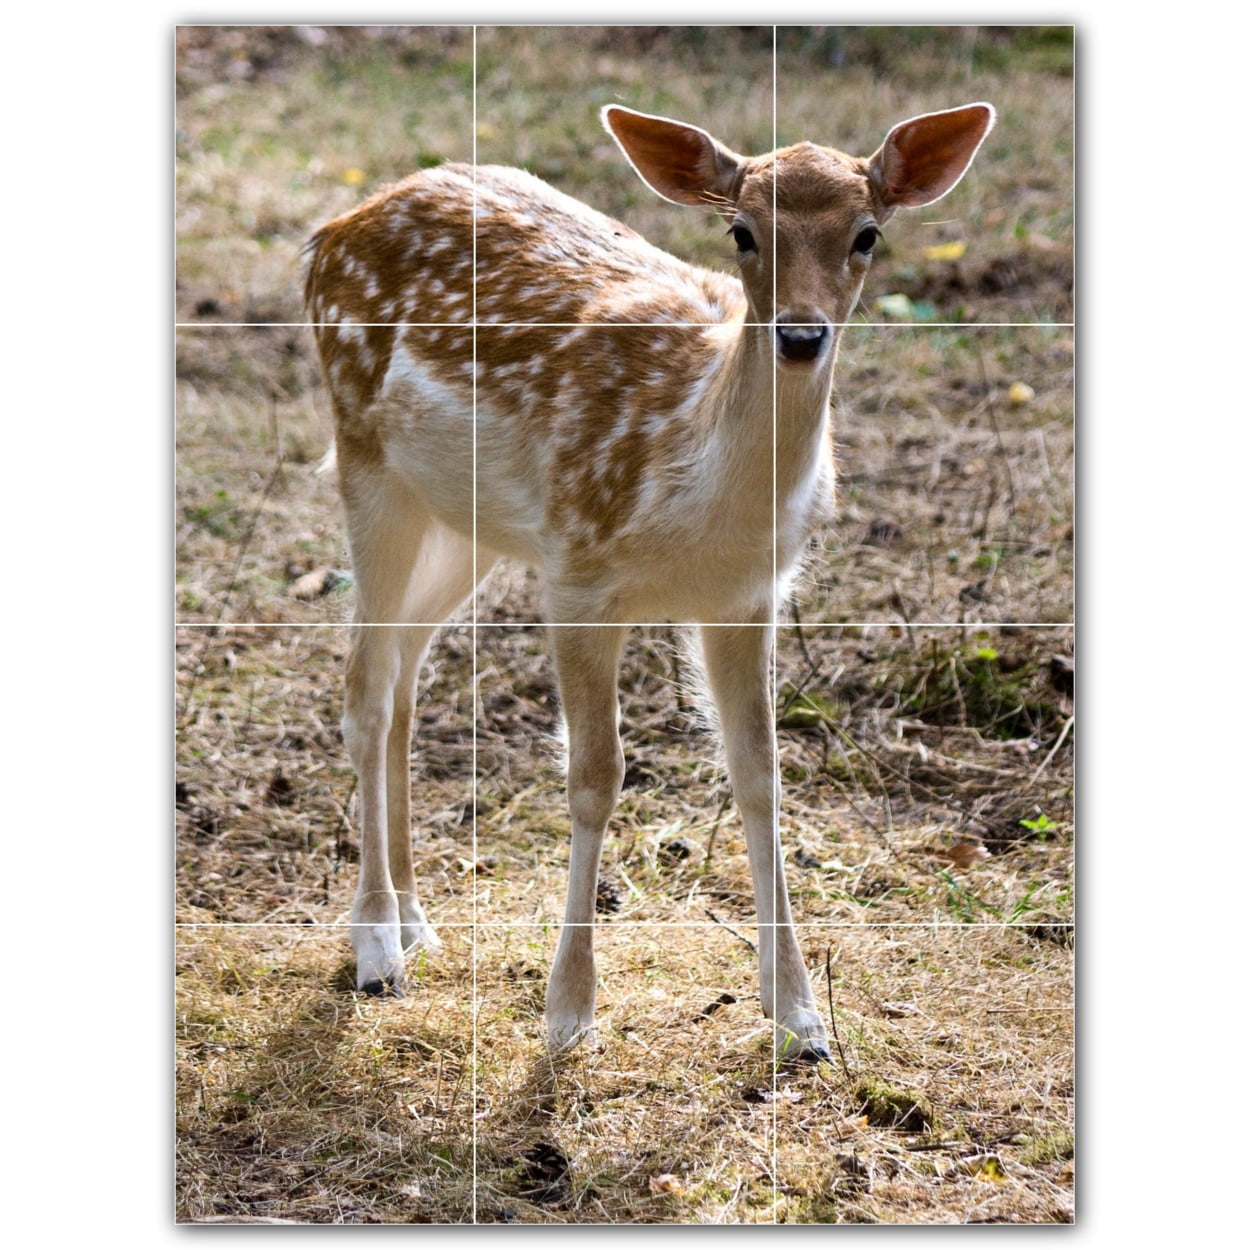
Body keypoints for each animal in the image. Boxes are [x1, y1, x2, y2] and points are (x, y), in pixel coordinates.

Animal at [304, 101, 995, 1062]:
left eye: (868, 234)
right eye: (742, 231)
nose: (800, 335)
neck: (698, 494)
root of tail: (334, 228)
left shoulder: (749, 594)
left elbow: (760, 772)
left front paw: (801, 1017)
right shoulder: (577, 569)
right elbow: (596, 775)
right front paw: (567, 1015)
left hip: (465, 523)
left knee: (404, 673)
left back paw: (415, 920)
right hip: (364, 455)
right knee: (365, 684)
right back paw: (375, 947)